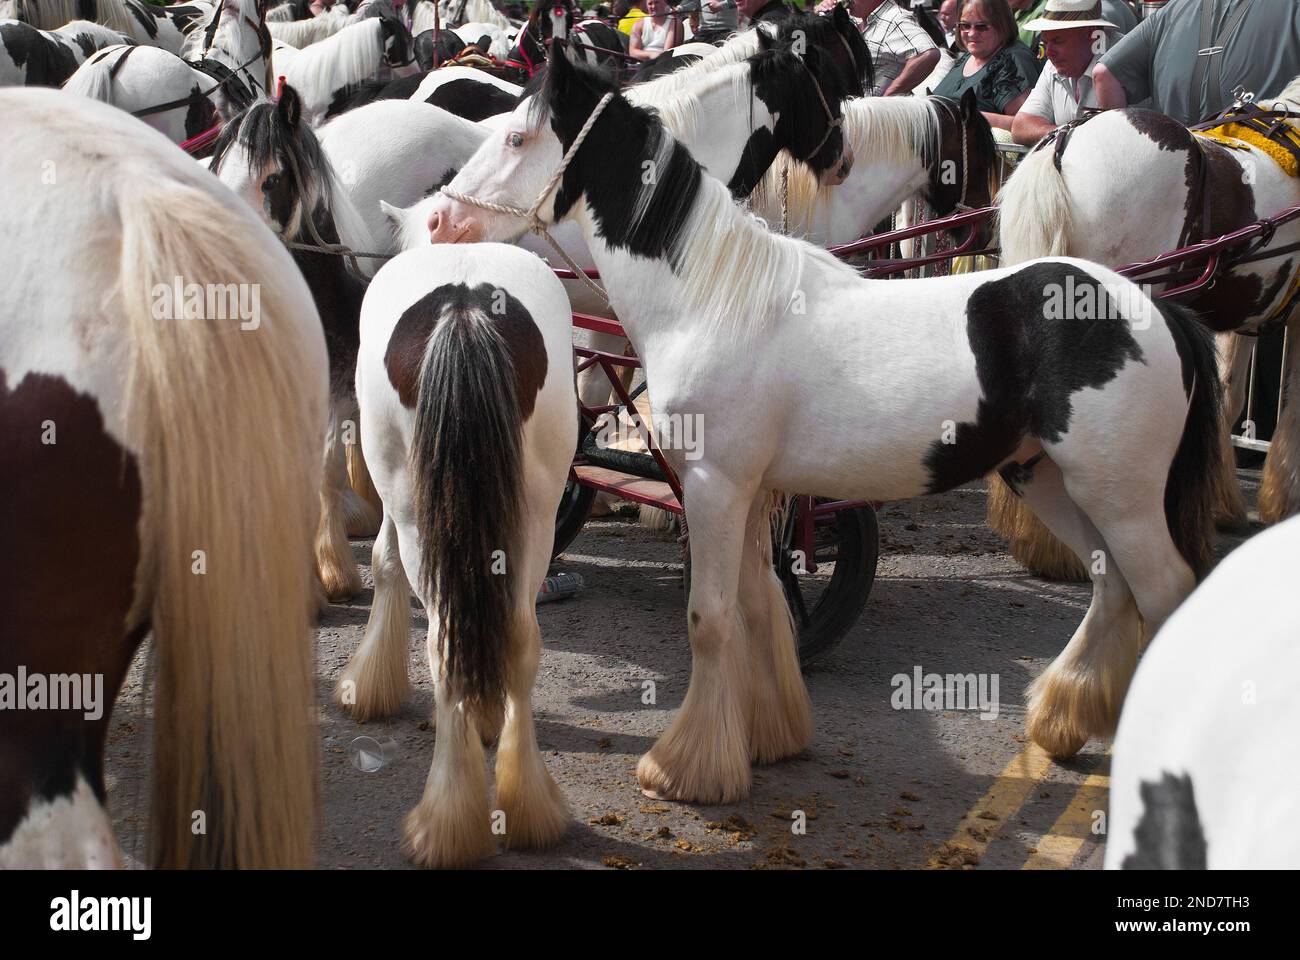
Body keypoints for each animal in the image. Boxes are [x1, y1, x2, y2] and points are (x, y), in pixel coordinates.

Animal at [342, 242, 577, 866]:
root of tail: (466, 303)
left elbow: (383, 563)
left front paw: (368, 684)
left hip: (414, 507)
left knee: (444, 642)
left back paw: (446, 821)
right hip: (535, 515)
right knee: (517, 637)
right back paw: (527, 807)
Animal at [426, 49, 1225, 800]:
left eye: (517, 136)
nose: (437, 220)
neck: (709, 299)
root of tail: (1159, 312)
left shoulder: (714, 488)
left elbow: (710, 618)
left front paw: (686, 770)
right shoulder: (749, 492)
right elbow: (759, 608)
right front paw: (766, 737)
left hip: (1120, 500)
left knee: (1163, 591)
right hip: (1052, 483)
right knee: (1113, 588)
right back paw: (1063, 722)